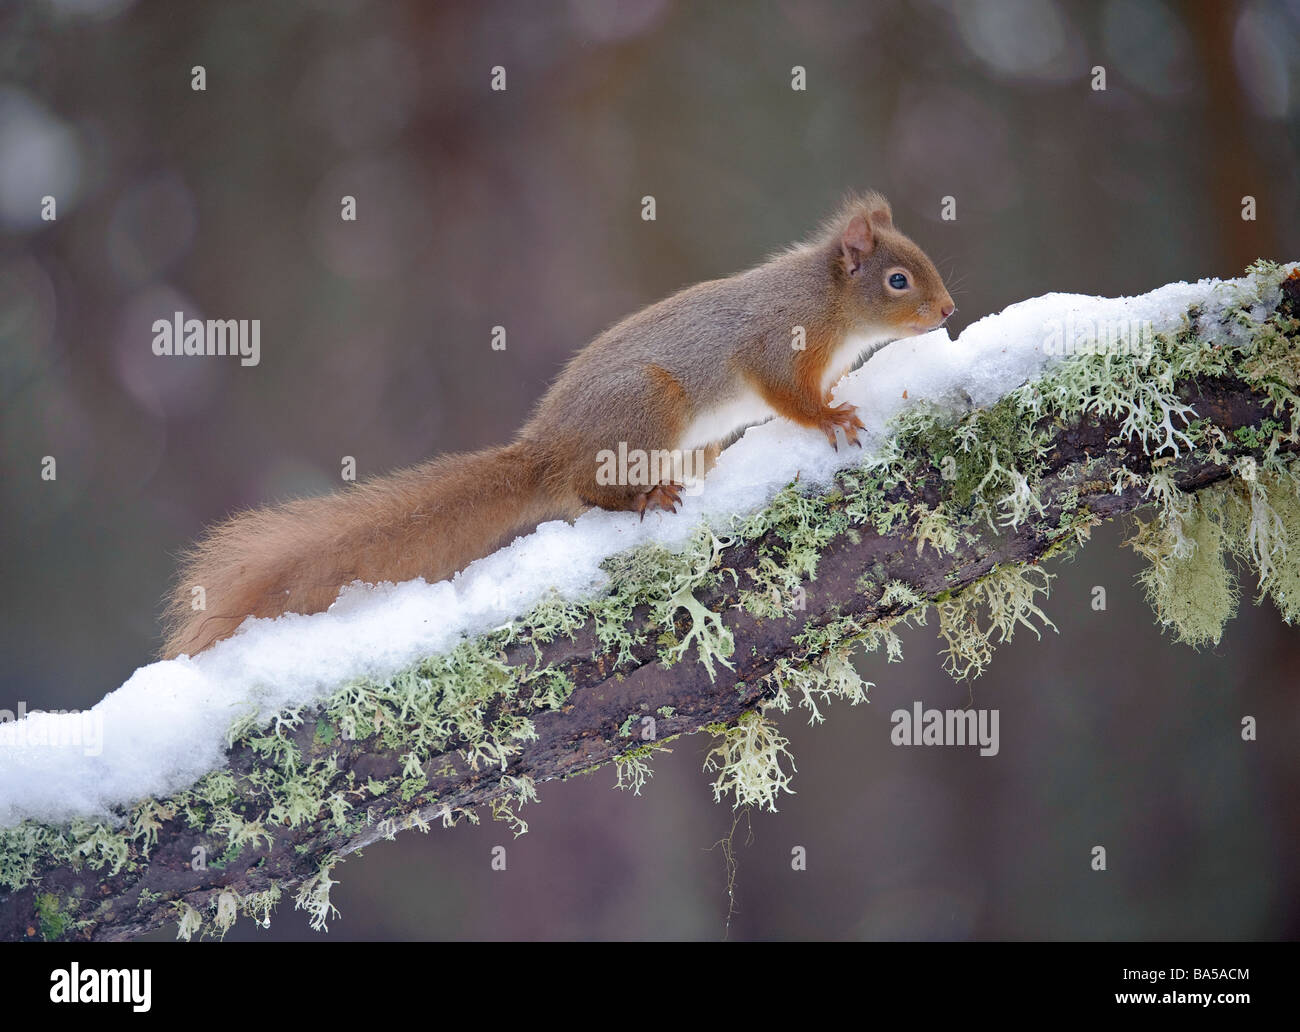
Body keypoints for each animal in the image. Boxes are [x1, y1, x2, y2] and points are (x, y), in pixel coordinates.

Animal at [161, 192, 954, 658]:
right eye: (897, 280)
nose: (948, 310)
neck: (831, 303)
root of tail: (549, 450)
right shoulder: (776, 345)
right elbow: (789, 395)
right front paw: (831, 416)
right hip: (649, 406)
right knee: (590, 493)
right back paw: (646, 496)